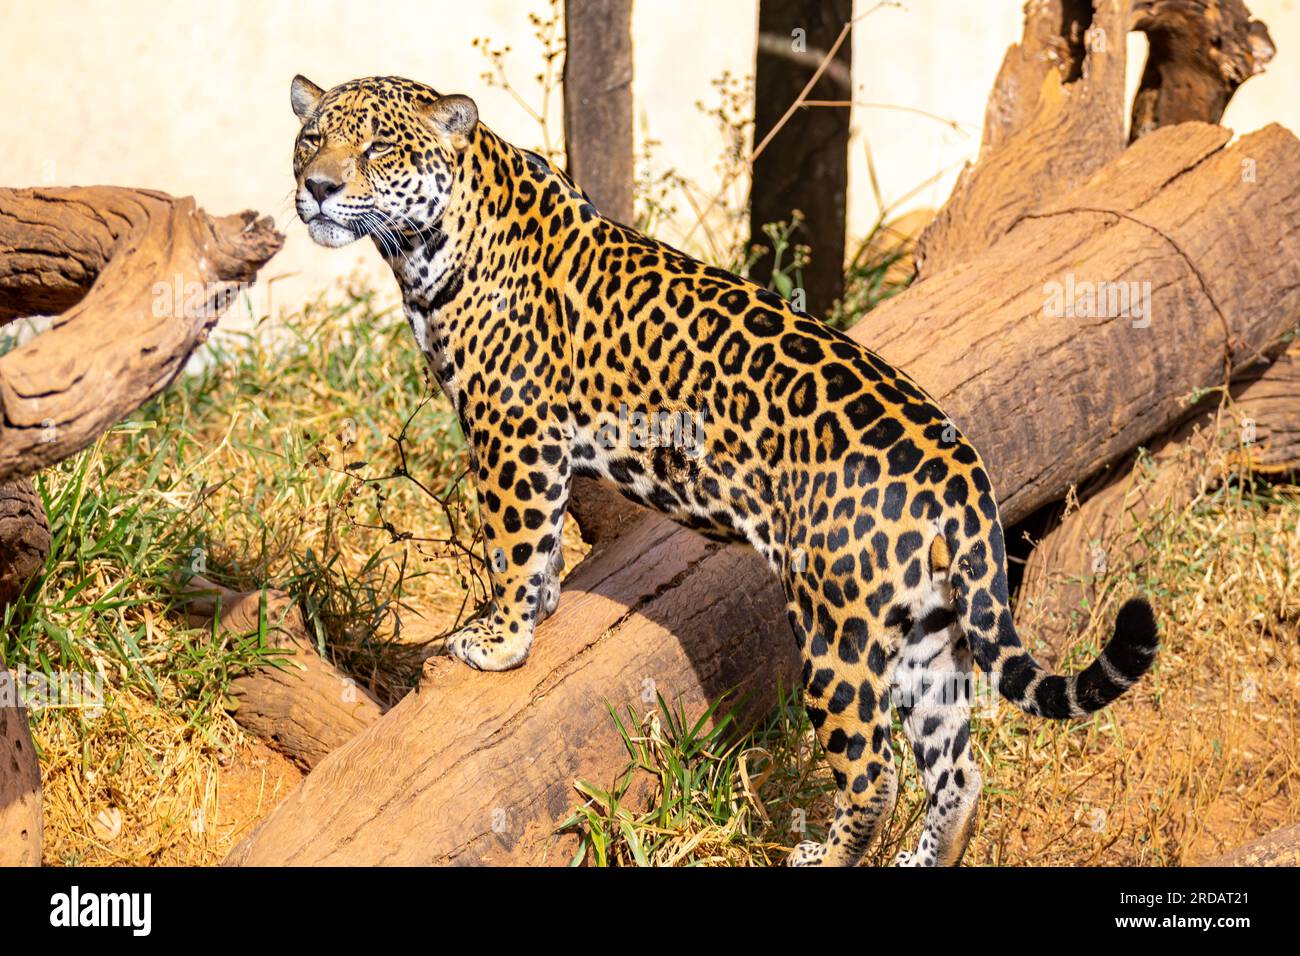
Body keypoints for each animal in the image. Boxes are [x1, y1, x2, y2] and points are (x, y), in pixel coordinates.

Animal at [289, 73, 1159, 867]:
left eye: (378, 147)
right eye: (311, 139)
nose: (317, 188)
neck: (431, 240)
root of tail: (960, 469)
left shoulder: (513, 430)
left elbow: (515, 538)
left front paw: (499, 639)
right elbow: (543, 541)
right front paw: (538, 607)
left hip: (837, 631)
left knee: (873, 773)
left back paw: (823, 858)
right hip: (929, 632)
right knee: (958, 774)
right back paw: (922, 860)